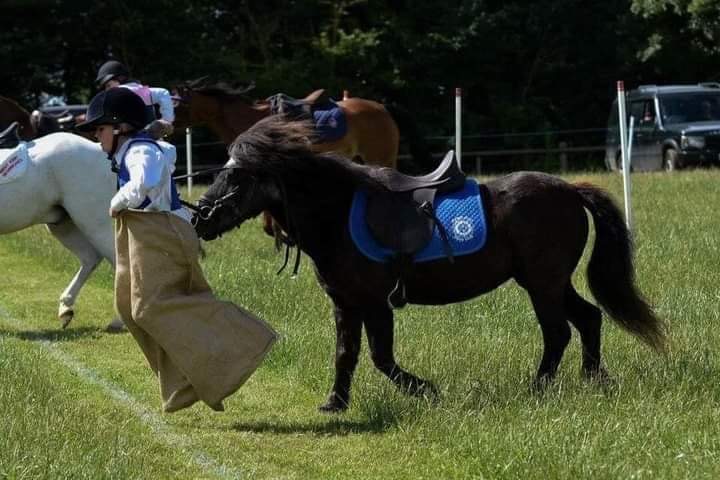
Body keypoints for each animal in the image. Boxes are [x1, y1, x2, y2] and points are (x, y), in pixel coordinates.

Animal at [0, 132, 119, 329]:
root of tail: (98, 149)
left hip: (93, 222)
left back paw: (119, 321)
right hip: (63, 225)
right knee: (90, 258)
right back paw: (65, 309)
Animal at [193, 116, 666, 413]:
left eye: (237, 175)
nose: (201, 218)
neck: (337, 213)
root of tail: (569, 190)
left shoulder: (375, 302)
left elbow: (381, 357)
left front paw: (426, 391)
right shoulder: (344, 303)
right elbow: (346, 354)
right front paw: (335, 403)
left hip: (542, 282)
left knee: (559, 332)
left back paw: (539, 389)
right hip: (548, 280)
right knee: (588, 318)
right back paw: (595, 379)